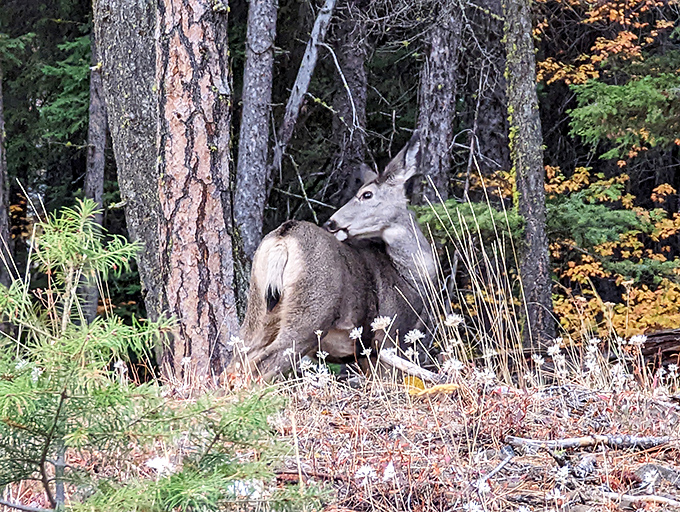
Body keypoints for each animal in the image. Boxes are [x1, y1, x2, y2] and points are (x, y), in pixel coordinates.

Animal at [227, 132, 437, 381]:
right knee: (262, 366)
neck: (411, 277)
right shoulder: (389, 335)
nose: (331, 222)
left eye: (367, 194)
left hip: (258, 306)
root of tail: (283, 237)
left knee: (235, 362)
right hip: (311, 313)